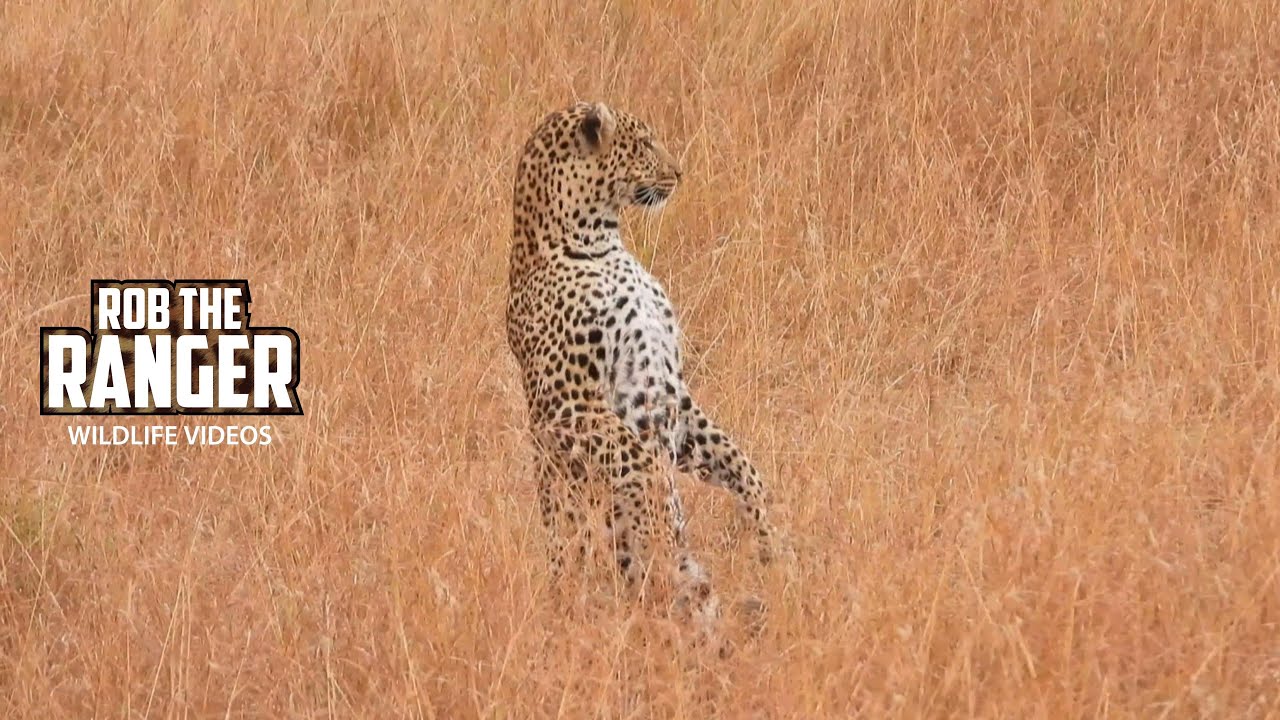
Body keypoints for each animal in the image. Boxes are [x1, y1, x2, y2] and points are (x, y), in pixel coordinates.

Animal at [506, 101, 783, 628]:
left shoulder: (674, 393)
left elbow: (735, 459)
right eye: (645, 144)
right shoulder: (566, 407)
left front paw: (766, 526)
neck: (598, 243)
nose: (679, 172)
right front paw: (657, 512)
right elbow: (637, 457)